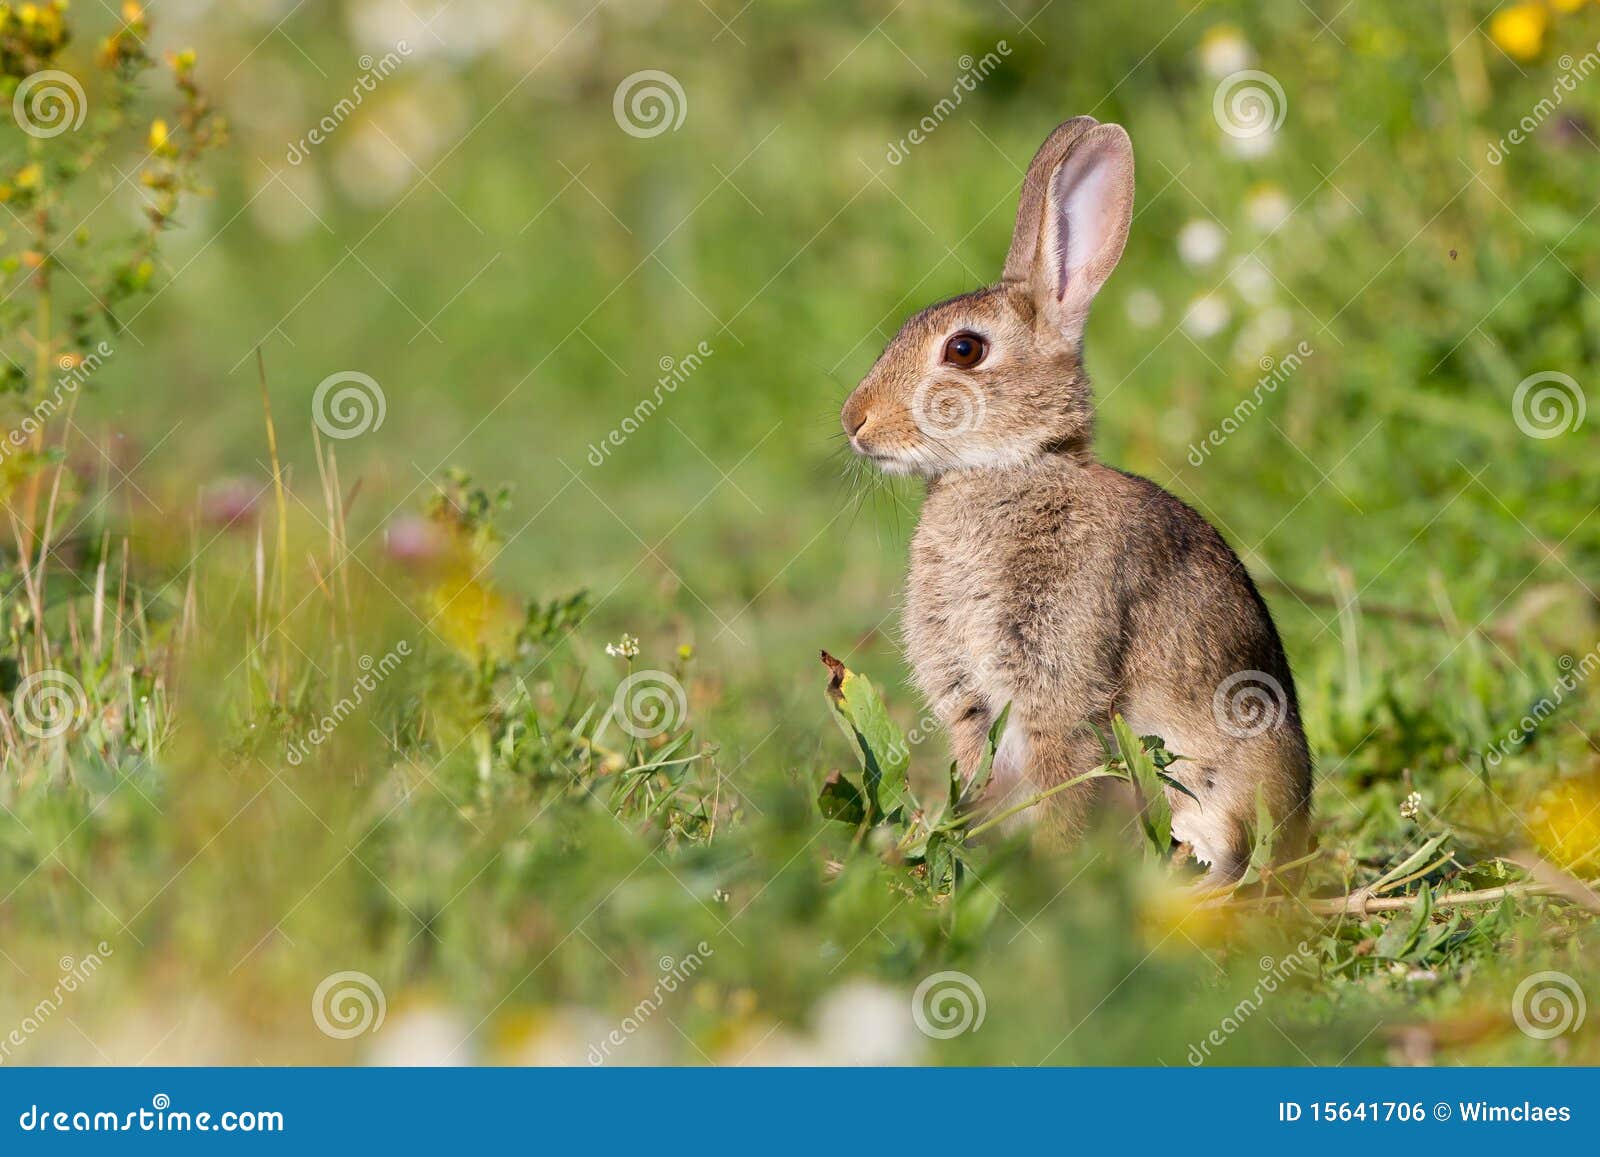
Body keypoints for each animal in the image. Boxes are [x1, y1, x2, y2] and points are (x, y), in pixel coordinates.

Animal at [840, 117, 1311, 882]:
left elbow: (1062, 782)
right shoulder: (971, 704)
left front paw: (1051, 871)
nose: (855, 421)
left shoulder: (1059, 683)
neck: (1014, 469)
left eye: (964, 350)